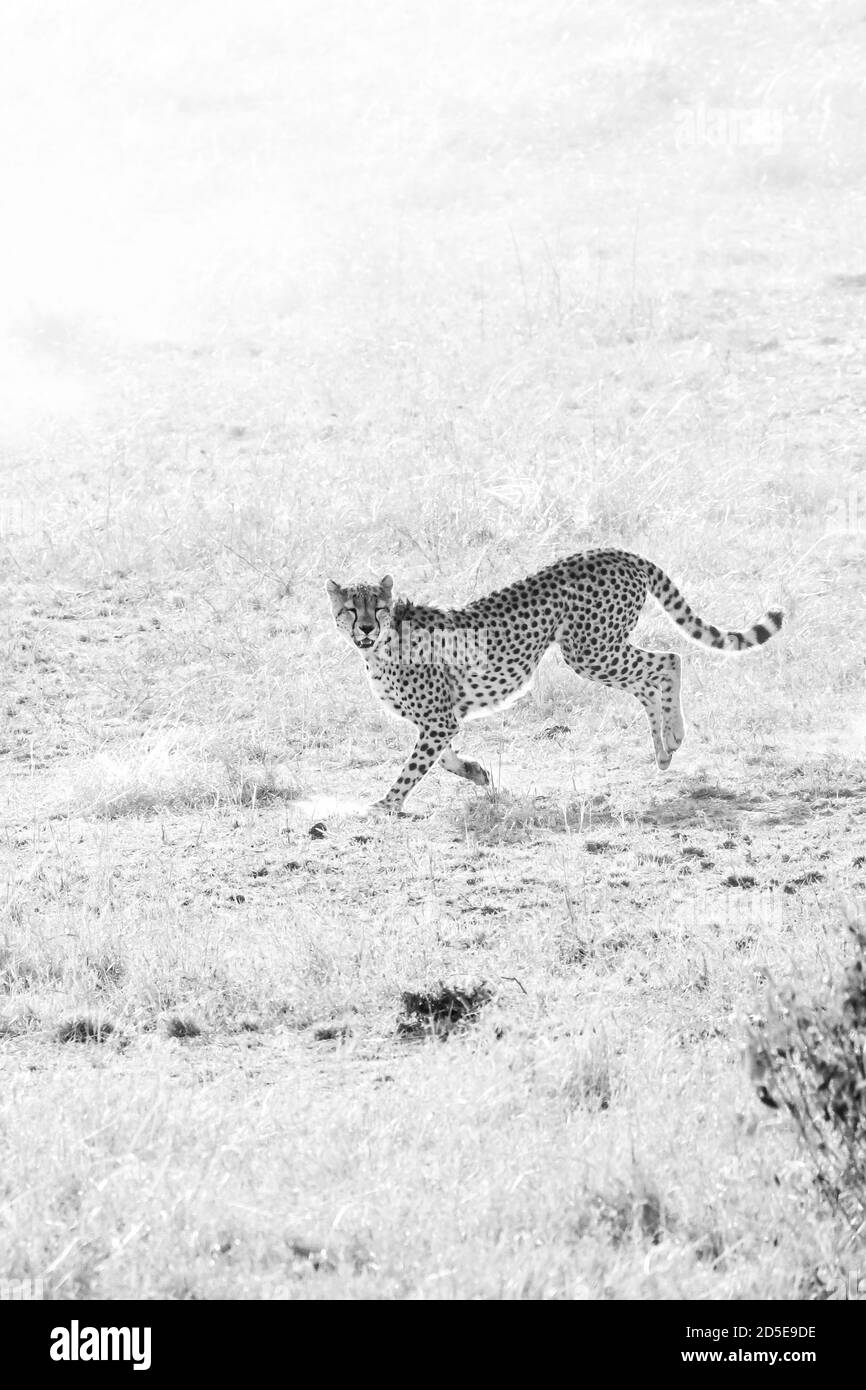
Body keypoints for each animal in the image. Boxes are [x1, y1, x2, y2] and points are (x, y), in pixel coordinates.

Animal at [326, 549, 783, 812]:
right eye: (350, 609)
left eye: (377, 607)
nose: (365, 627)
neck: (383, 642)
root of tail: (617, 551)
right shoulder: (441, 720)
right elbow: (441, 757)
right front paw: (476, 773)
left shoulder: (438, 719)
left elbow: (415, 765)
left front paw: (386, 803)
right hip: (598, 650)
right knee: (650, 677)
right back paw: (663, 750)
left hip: (589, 651)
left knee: (668, 660)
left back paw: (673, 737)